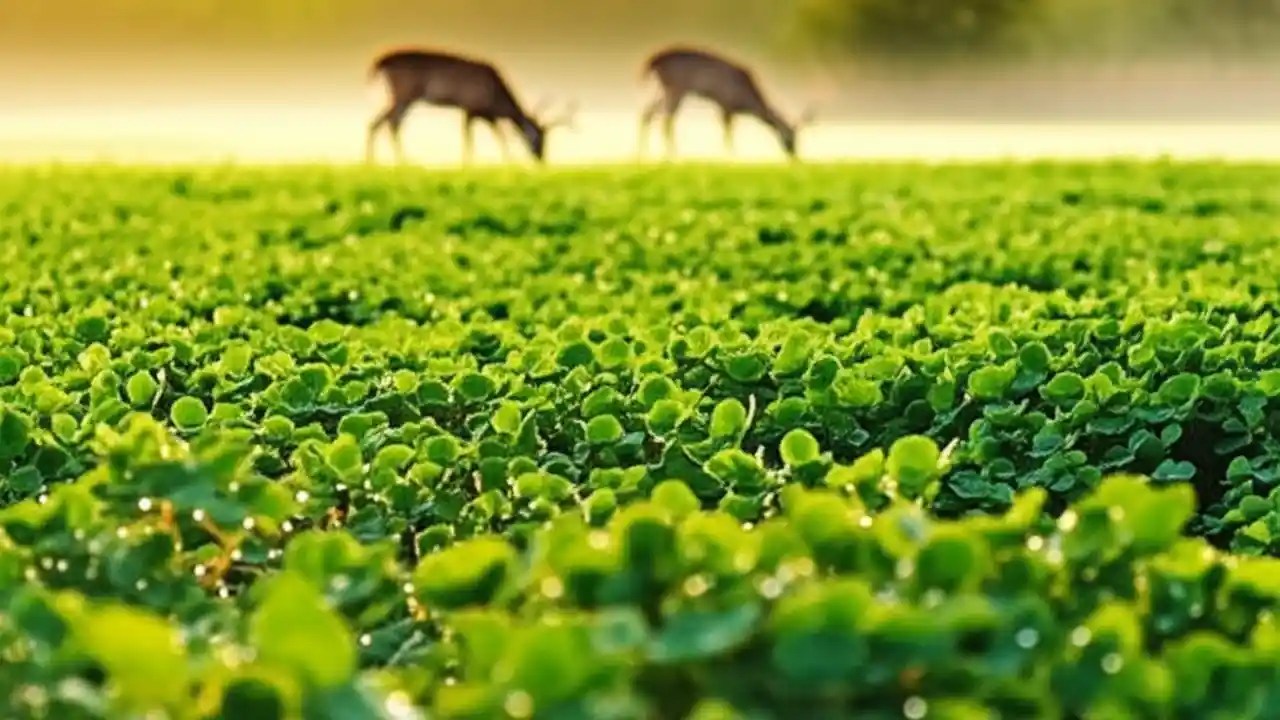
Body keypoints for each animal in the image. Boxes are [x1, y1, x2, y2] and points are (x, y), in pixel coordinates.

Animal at [366, 48, 576, 165]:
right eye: (539, 139)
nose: (542, 159)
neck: (497, 100)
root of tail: (380, 63)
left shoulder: (487, 115)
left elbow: (500, 136)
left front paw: (509, 161)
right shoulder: (470, 107)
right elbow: (469, 138)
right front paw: (468, 163)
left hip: (404, 97)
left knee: (381, 122)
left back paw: (375, 161)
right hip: (404, 93)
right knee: (390, 122)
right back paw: (401, 161)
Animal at [639, 46, 815, 161]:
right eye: (791, 137)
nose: (794, 156)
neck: (748, 100)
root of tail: (653, 62)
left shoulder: (724, 107)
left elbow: (727, 131)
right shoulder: (727, 105)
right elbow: (728, 133)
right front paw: (731, 156)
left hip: (665, 89)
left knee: (648, 112)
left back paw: (644, 154)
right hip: (677, 88)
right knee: (667, 117)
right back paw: (673, 154)